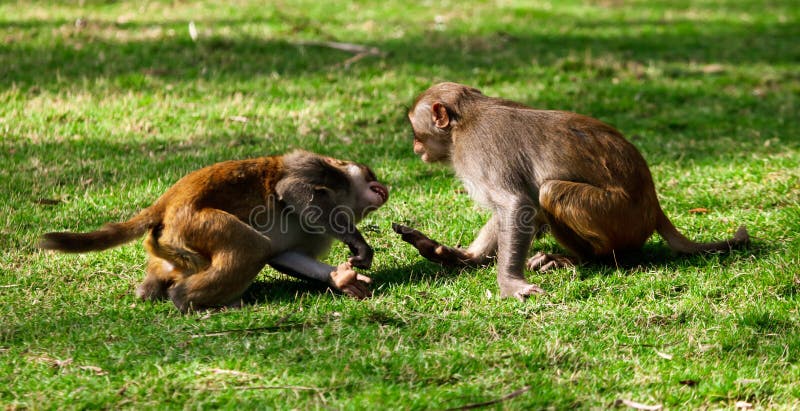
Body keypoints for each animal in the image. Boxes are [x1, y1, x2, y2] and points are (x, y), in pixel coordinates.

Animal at [39, 150, 389, 312]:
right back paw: (186, 299)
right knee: (251, 246)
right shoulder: (319, 169)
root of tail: (167, 203)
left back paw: (157, 290)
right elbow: (291, 189)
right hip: (195, 223)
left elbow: (284, 254)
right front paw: (358, 244)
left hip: (172, 241)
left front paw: (341, 279)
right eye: (371, 176)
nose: (384, 188)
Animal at [393, 82, 749, 301]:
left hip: (622, 217)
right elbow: (518, 209)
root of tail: (654, 204)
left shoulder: (477, 151)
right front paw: (457, 256)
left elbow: (517, 205)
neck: (463, 122)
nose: (414, 147)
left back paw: (584, 260)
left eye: (415, 131)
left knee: (549, 191)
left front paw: (510, 283)